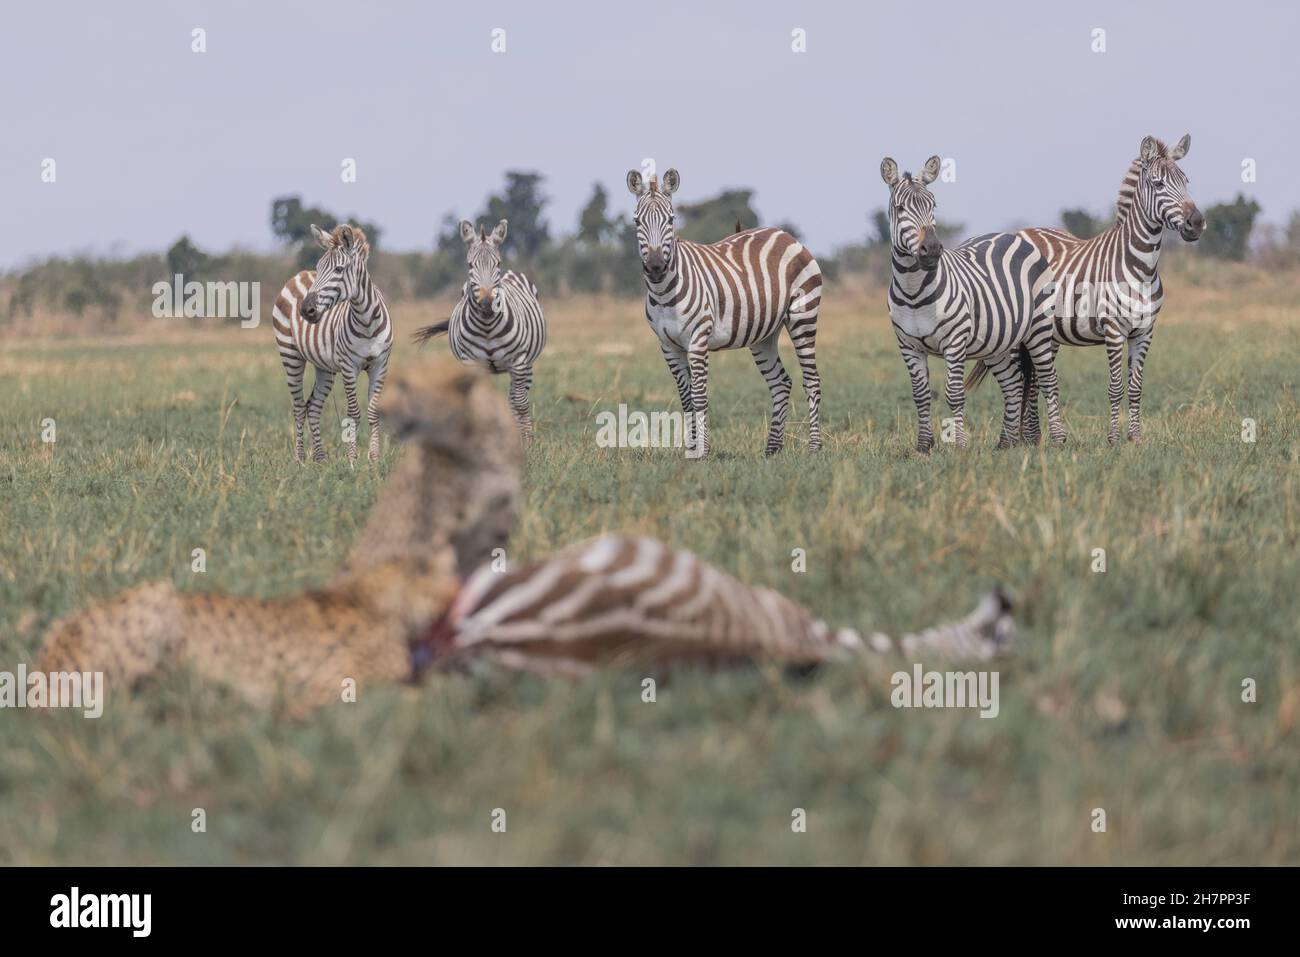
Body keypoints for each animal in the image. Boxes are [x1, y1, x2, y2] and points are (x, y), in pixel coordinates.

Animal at [272, 224, 392, 464]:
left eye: (339, 269)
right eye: (319, 267)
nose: (305, 310)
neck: (367, 321)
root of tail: (299, 274)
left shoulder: (380, 365)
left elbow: (373, 411)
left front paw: (374, 460)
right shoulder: (348, 367)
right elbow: (353, 413)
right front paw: (353, 461)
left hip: (324, 367)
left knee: (313, 407)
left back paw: (320, 459)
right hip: (290, 355)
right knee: (298, 407)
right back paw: (300, 459)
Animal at [414, 219, 546, 445]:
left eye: (498, 264)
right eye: (470, 265)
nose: (486, 304)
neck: (487, 327)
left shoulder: (519, 361)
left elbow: (519, 404)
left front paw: (526, 444)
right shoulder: (471, 363)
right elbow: (478, 404)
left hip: (527, 365)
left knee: (517, 398)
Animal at [625, 167, 823, 458]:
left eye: (671, 219)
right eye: (637, 221)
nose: (656, 266)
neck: (663, 293)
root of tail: (784, 234)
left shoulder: (698, 339)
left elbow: (699, 397)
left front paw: (702, 451)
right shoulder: (668, 346)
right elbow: (685, 398)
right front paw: (691, 448)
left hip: (803, 317)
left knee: (811, 381)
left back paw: (814, 447)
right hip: (764, 335)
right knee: (781, 383)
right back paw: (772, 449)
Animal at [881, 155, 1065, 452]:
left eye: (933, 205)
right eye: (900, 208)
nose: (932, 250)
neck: (913, 290)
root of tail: (1011, 235)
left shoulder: (954, 341)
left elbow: (954, 394)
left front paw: (959, 445)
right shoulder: (907, 345)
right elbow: (920, 395)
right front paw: (923, 447)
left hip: (1039, 329)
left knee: (1049, 380)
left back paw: (1058, 440)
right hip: (997, 342)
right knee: (1013, 383)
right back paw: (1005, 443)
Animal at [1018, 134, 1205, 444]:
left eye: (1186, 181)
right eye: (1158, 184)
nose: (1197, 223)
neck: (1142, 267)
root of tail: (1023, 231)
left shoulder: (1144, 331)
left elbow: (1136, 387)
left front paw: (1135, 439)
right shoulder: (1114, 329)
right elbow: (1115, 387)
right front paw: (1114, 440)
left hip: (1049, 333)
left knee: (1035, 381)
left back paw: (1033, 438)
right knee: (1027, 379)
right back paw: (1032, 439)